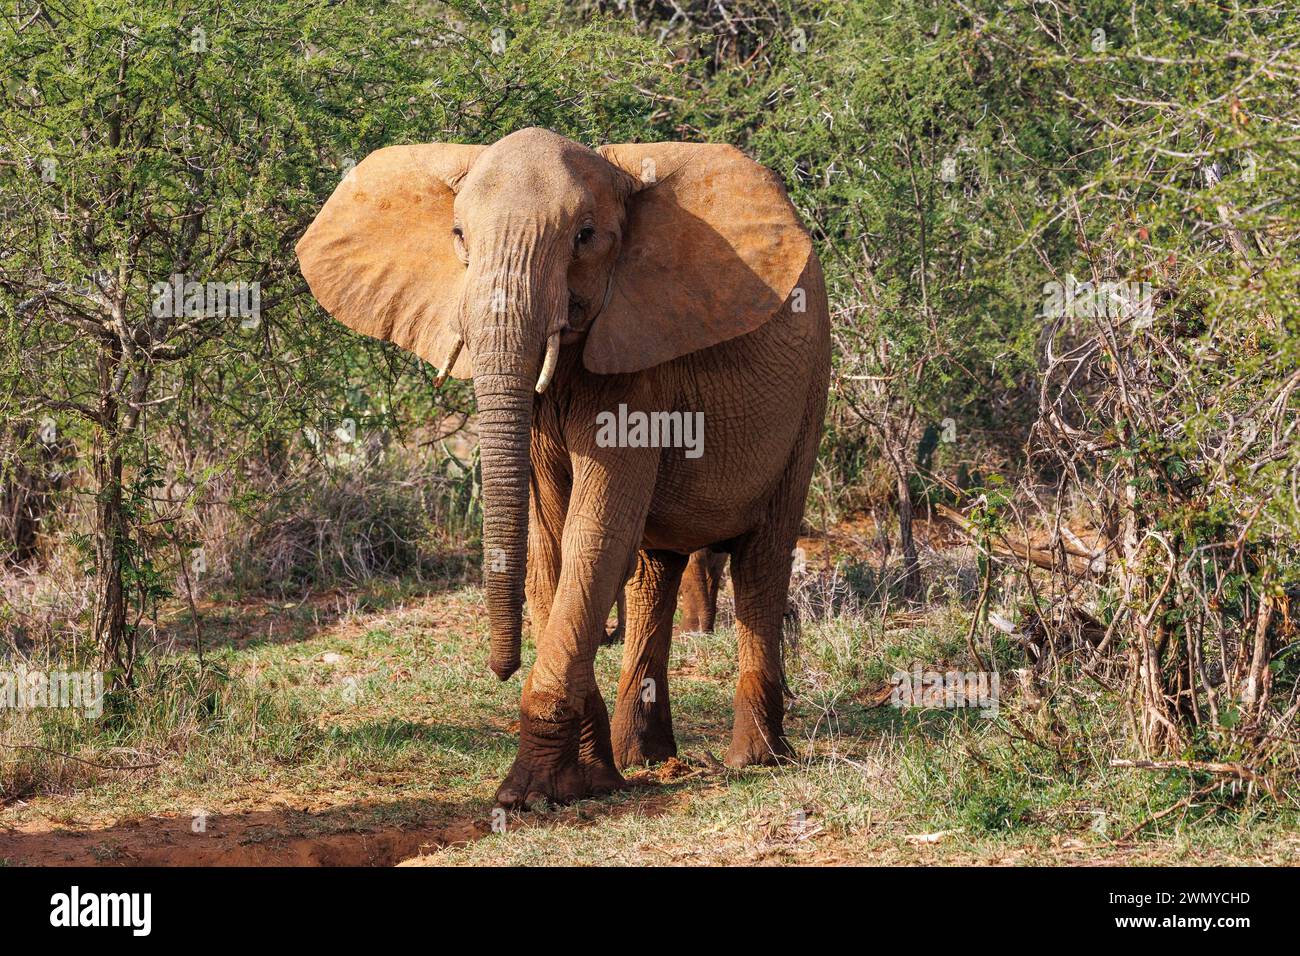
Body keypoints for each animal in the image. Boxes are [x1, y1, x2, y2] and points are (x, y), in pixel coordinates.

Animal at [296, 128, 830, 807]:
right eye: (459, 235)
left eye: (585, 236)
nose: (501, 667)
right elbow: (551, 538)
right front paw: (588, 779)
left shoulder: (640, 353)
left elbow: (592, 533)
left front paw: (530, 795)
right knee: (653, 570)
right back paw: (643, 757)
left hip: (810, 389)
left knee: (762, 557)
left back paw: (754, 759)